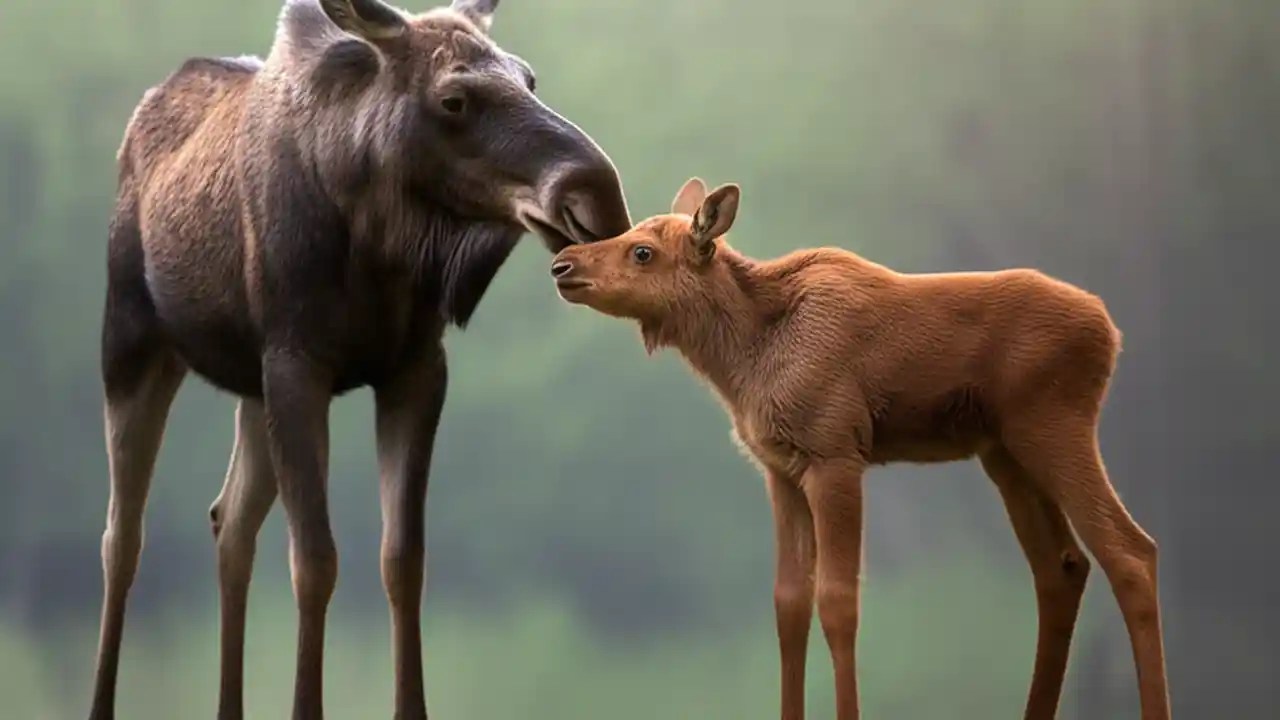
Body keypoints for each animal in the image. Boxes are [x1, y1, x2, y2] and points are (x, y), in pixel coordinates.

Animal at [91, 0, 632, 718]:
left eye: (528, 78)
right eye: (453, 99)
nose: (596, 195)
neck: (379, 246)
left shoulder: (415, 370)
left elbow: (402, 560)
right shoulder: (297, 366)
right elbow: (315, 561)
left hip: (251, 389)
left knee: (230, 522)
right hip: (132, 341)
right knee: (122, 537)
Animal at [549, 178, 1171, 720]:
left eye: (643, 252)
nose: (562, 265)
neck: (743, 360)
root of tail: (1110, 331)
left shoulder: (835, 455)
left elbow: (838, 603)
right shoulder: (780, 470)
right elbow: (789, 605)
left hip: (1055, 424)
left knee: (1129, 551)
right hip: (1005, 453)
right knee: (1061, 566)